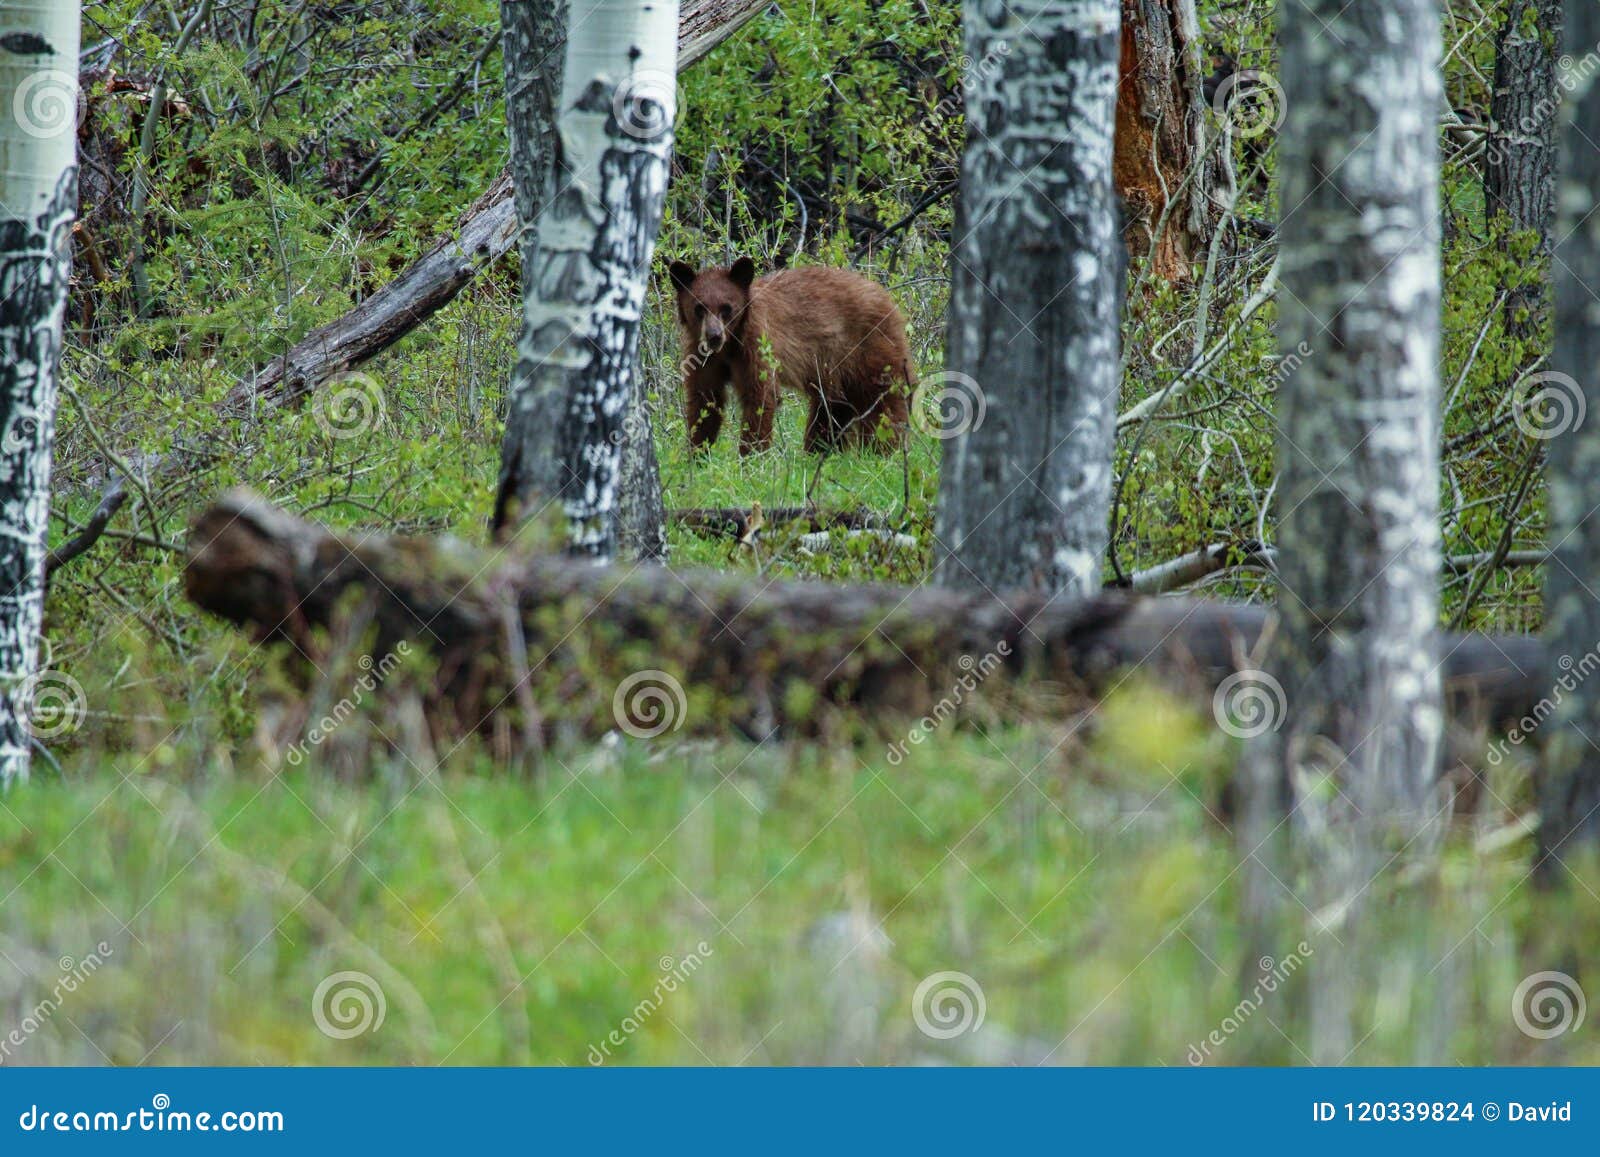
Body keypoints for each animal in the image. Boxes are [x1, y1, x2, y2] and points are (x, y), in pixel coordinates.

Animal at [668, 257, 914, 456]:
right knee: (831, 410)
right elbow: (705, 401)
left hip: (870, 349)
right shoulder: (702, 358)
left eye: (726, 308)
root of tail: (887, 297)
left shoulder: (757, 343)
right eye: (699, 308)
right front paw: (697, 456)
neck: (729, 347)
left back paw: (882, 450)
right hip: (836, 372)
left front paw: (750, 458)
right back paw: (819, 453)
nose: (714, 336)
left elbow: (761, 396)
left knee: (884, 402)